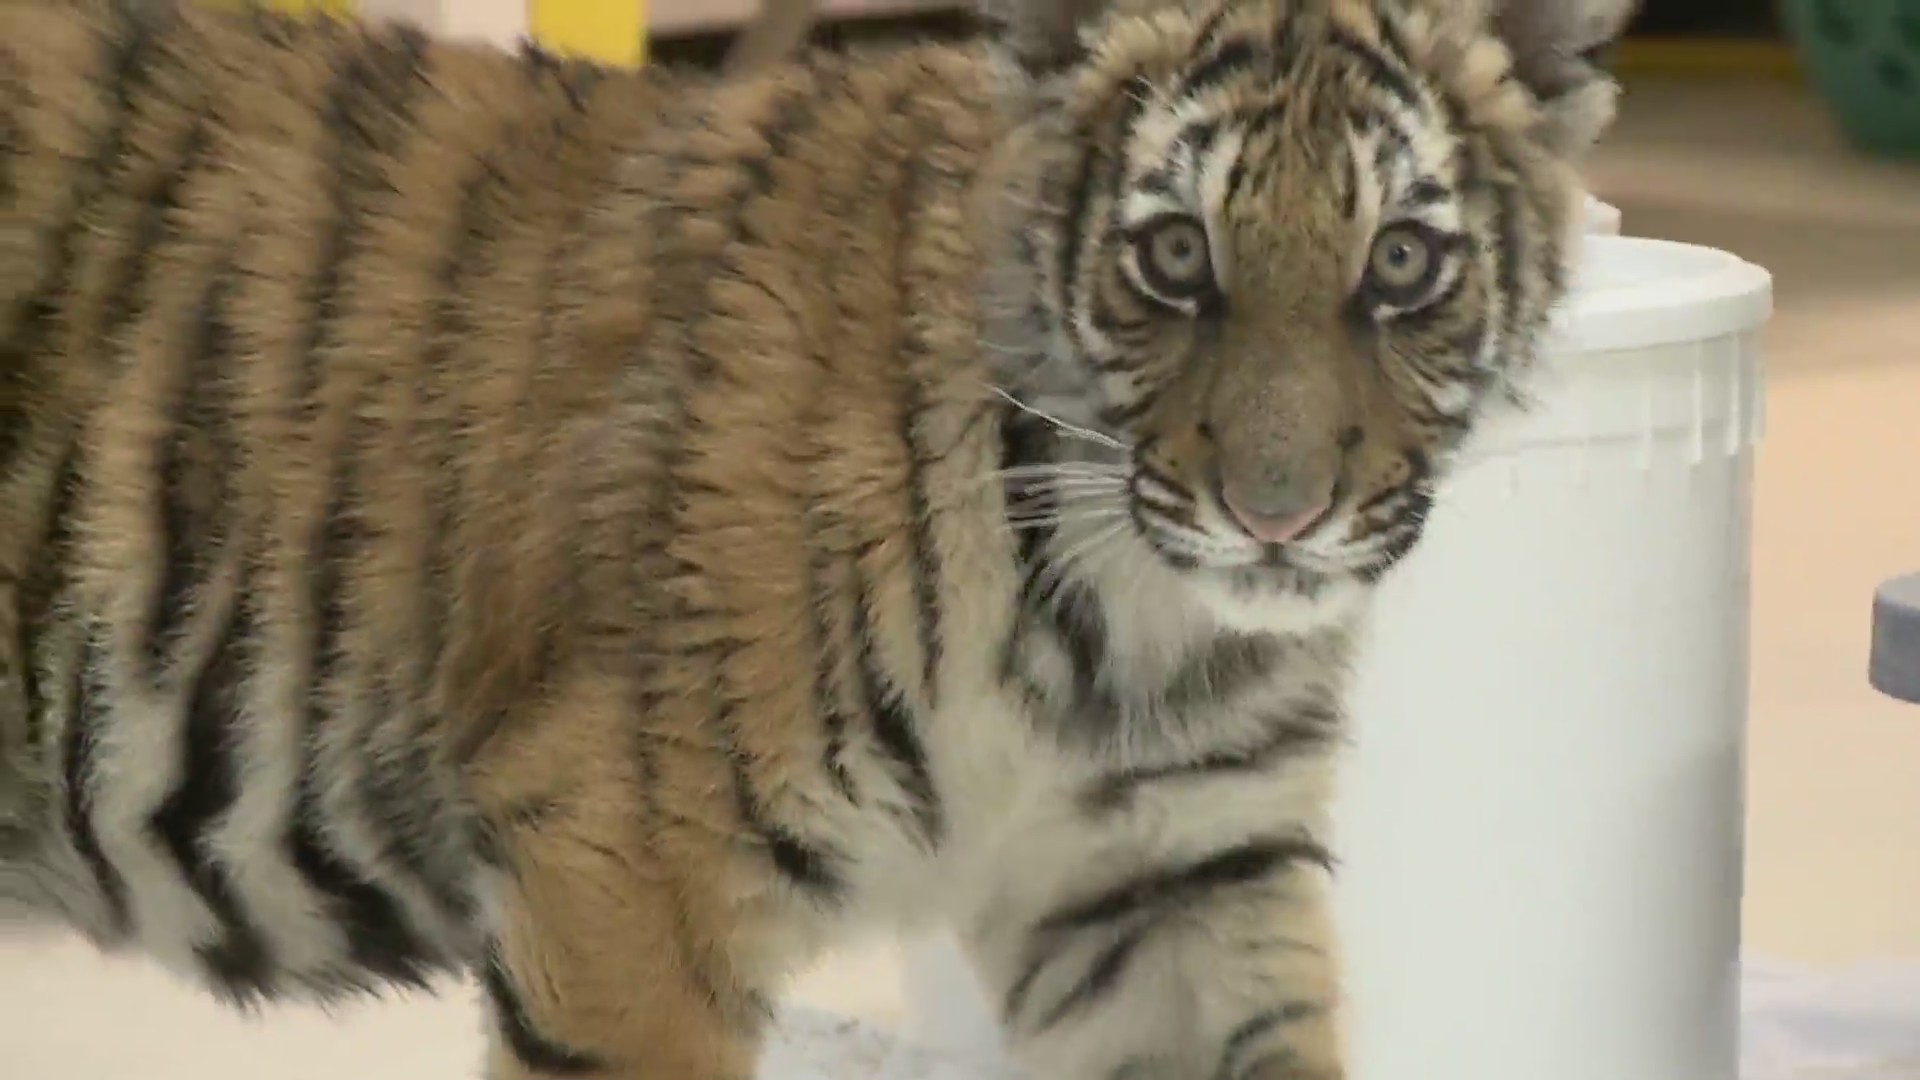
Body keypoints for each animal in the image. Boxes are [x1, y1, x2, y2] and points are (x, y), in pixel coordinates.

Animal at [0, 0, 1635, 1078]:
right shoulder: (629, 871)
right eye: (1175, 256)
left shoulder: (1170, 881)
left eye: (1402, 263)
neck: (1130, 630)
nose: (1275, 516)